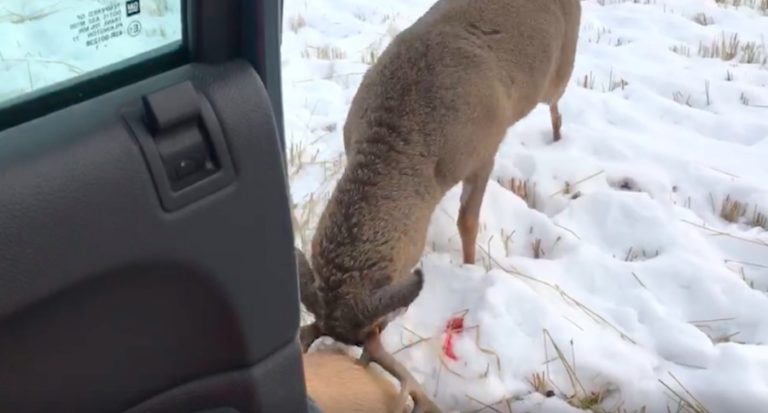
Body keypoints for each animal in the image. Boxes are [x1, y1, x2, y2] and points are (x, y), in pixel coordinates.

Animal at [296, 0, 581, 412]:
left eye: (374, 326)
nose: (352, 350)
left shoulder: (483, 151)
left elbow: (468, 220)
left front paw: (470, 267)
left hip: (561, 68)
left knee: (556, 102)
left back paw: (558, 137)